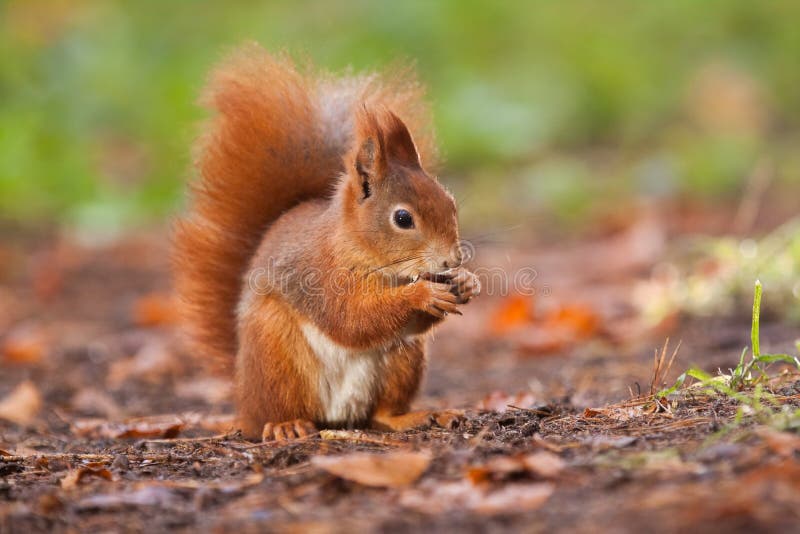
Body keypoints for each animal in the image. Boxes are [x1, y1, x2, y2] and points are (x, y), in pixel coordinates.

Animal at [172, 44, 480, 440]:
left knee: (380, 413)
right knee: (279, 408)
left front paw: (466, 283)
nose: (451, 261)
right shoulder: (319, 274)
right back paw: (286, 426)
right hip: (275, 354)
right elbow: (351, 318)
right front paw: (422, 293)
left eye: (451, 203)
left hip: (403, 359)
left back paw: (413, 417)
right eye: (402, 219)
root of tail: (244, 397)